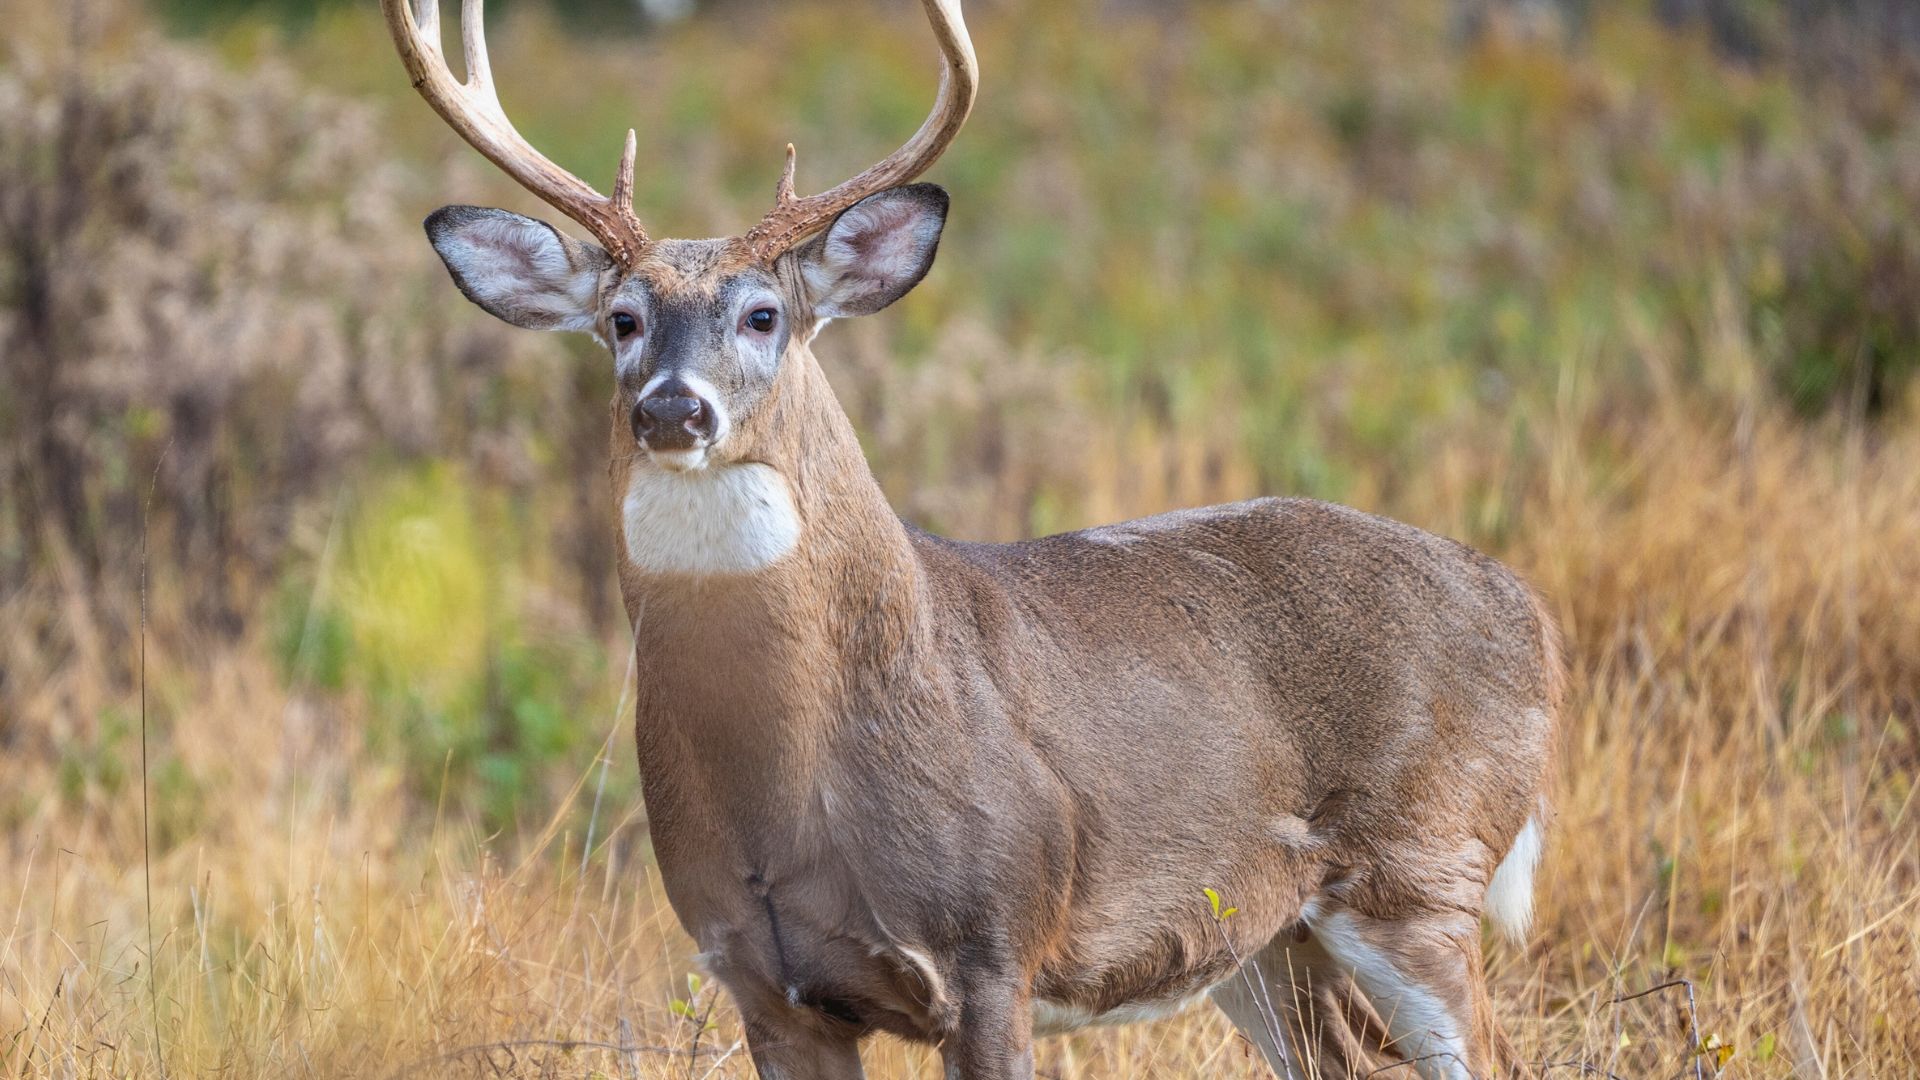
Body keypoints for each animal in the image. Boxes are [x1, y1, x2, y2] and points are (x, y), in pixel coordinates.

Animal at [382, 1, 1561, 1077]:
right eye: (620, 320)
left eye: (765, 314)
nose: (674, 409)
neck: (791, 788)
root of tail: (1531, 612)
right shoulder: (762, 978)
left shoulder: (994, 943)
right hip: (1269, 939)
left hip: (1422, 863)